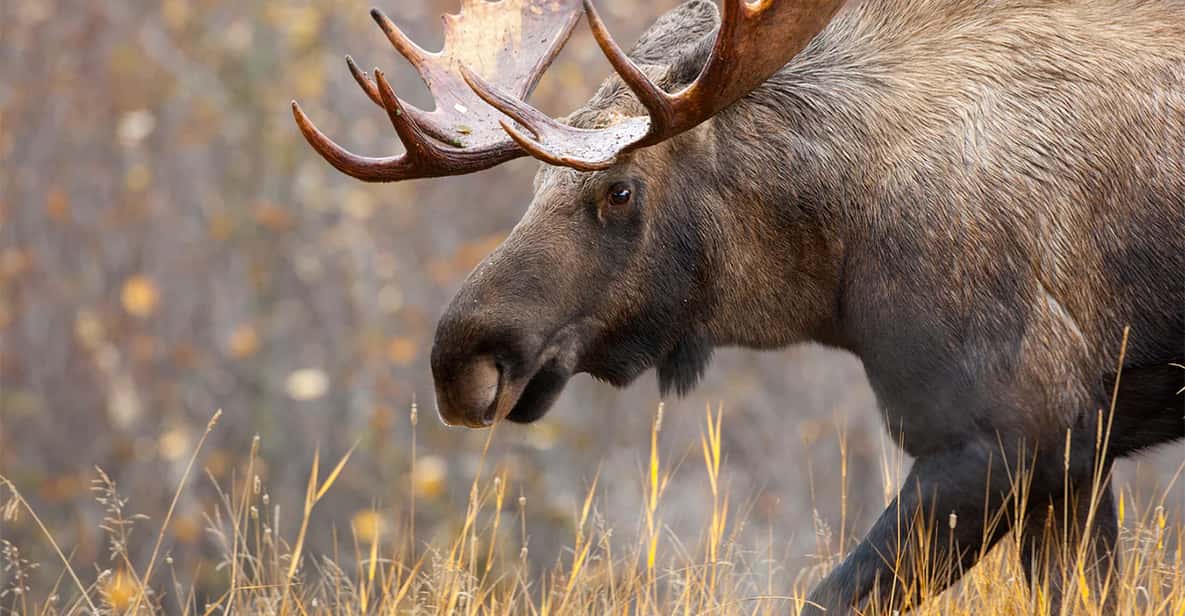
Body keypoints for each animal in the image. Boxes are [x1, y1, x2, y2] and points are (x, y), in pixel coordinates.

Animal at [292, 0, 1185, 612]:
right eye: (532, 181)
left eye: (620, 190)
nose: (461, 359)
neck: (837, 263)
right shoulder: (1075, 460)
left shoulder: (1008, 434)